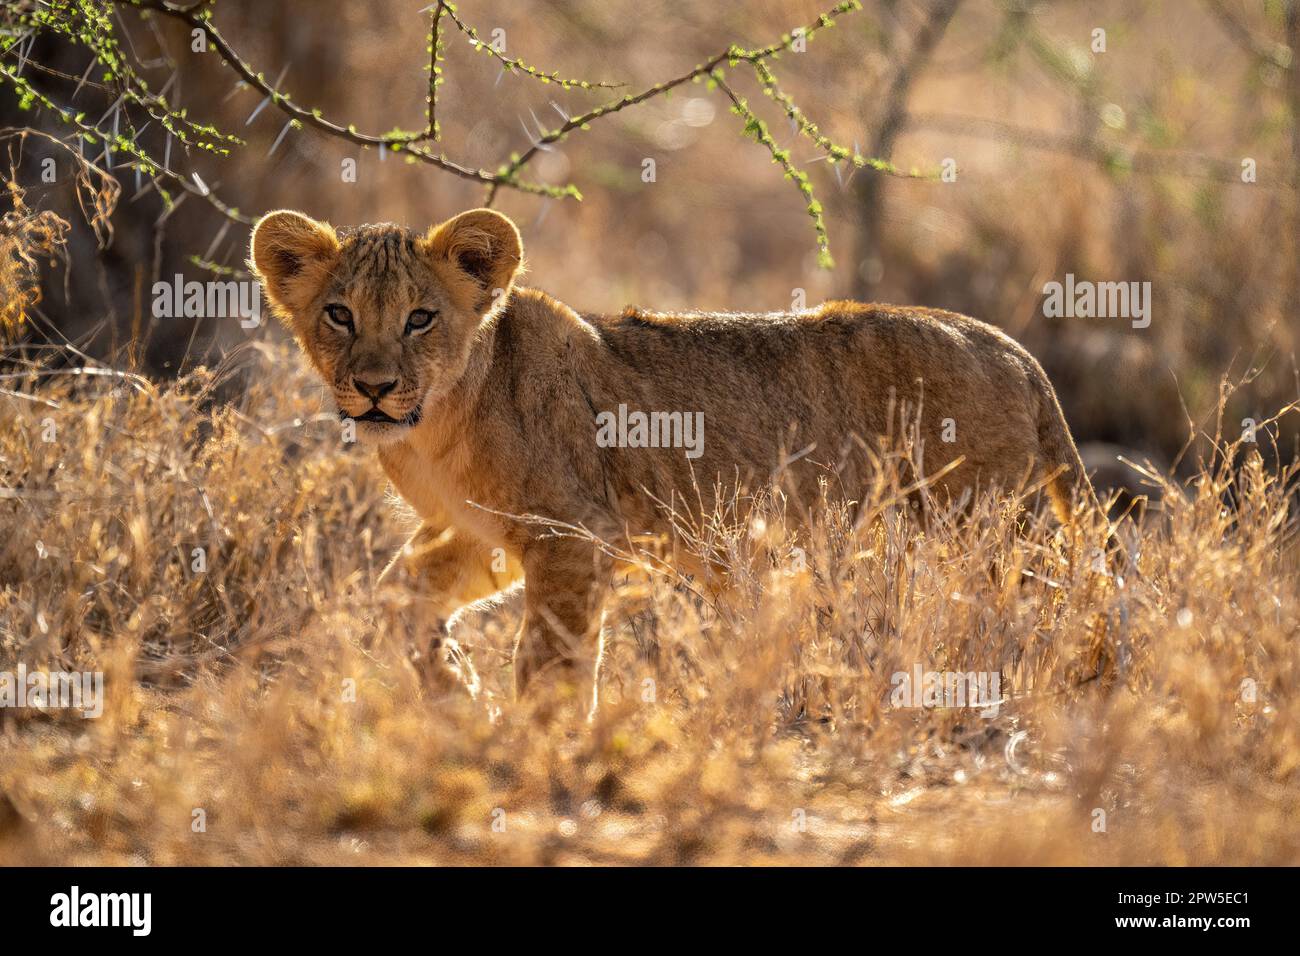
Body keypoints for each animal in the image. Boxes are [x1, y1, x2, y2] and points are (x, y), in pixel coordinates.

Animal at [249, 207, 1099, 710]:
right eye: (339, 314)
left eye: (420, 318)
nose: (373, 388)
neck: (439, 422)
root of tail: (1013, 350)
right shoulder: (480, 532)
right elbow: (397, 592)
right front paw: (453, 683)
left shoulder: (572, 533)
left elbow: (551, 659)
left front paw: (539, 743)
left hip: (981, 532)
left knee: (1030, 608)